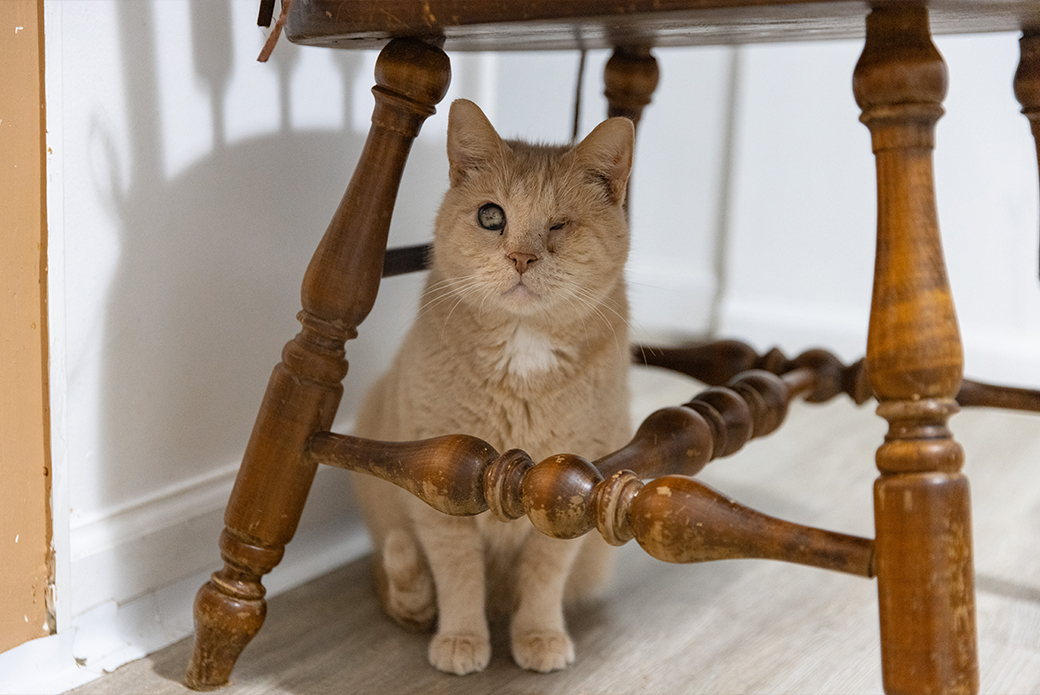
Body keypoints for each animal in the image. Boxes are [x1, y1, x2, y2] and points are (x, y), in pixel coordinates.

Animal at [353, 97, 632, 674]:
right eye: (491, 216)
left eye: (559, 225)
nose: (521, 258)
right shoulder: (441, 482)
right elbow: (458, 575)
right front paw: (461, 638)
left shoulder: (572, 490)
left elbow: (545, 575)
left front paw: (539, 635)